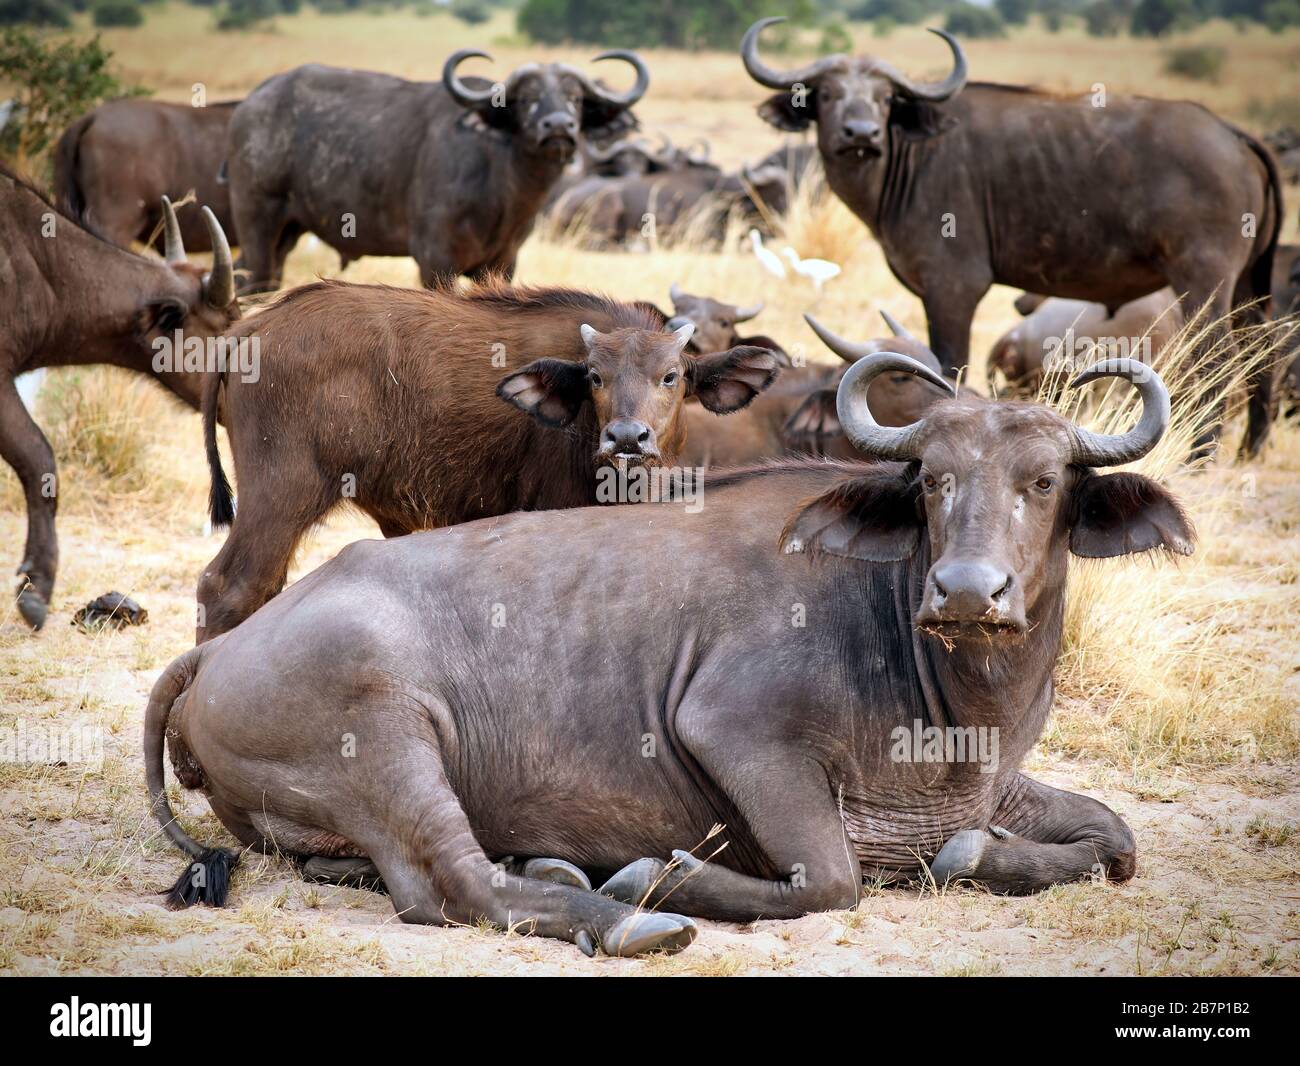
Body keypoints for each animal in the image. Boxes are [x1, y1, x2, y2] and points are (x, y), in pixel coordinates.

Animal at [146, 340, 1191, 957]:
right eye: (931, 479)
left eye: (1045, 481)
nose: (969, 591)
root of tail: (215, 653)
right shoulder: (740, 737)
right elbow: (836, 880)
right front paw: (663, 872)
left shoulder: (994, 786)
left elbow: (1114, 838)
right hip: (389, 736)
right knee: (450, 883)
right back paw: (630, 915)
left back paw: (554, 870)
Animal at [195, 280, 779, 638]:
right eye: (595, 377)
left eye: (671, 376)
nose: (627, 438)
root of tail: (248, 332)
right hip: (281, 493)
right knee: (228, 588)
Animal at [226, 50, 647, 292]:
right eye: (528, 99)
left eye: (575, 99)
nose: (559, 127)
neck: (501, 184)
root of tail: (250, 105)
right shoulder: (434, 259)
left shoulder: (503, 263)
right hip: (257, 218)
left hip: (288, 230)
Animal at [741, 16, 1283, 458]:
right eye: (827, 93)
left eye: (885, 98)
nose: (861, 134)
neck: (914, 158)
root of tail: (1231, 132)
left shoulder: (952, 289)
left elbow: (950, 363)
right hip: (1248, 288)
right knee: (1264, 350)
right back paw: (1249, 451)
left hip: (1204, 283)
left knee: (1216, 362)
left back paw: (1201, 456)